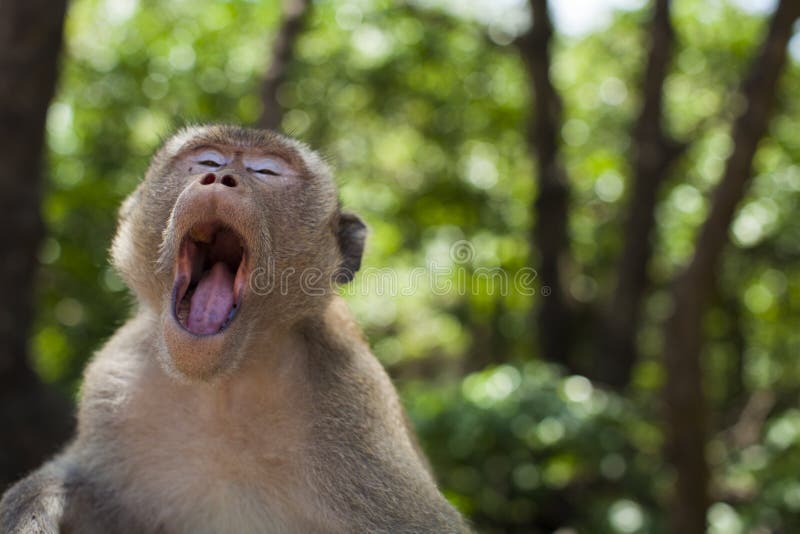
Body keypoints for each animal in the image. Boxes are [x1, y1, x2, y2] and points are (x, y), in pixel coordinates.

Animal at [0, 124, 468, 533]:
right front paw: (30, 508)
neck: (221, 387)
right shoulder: (113, 381)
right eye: (207, 160)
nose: (220, 177)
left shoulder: (353, 404)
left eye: (266, 171)